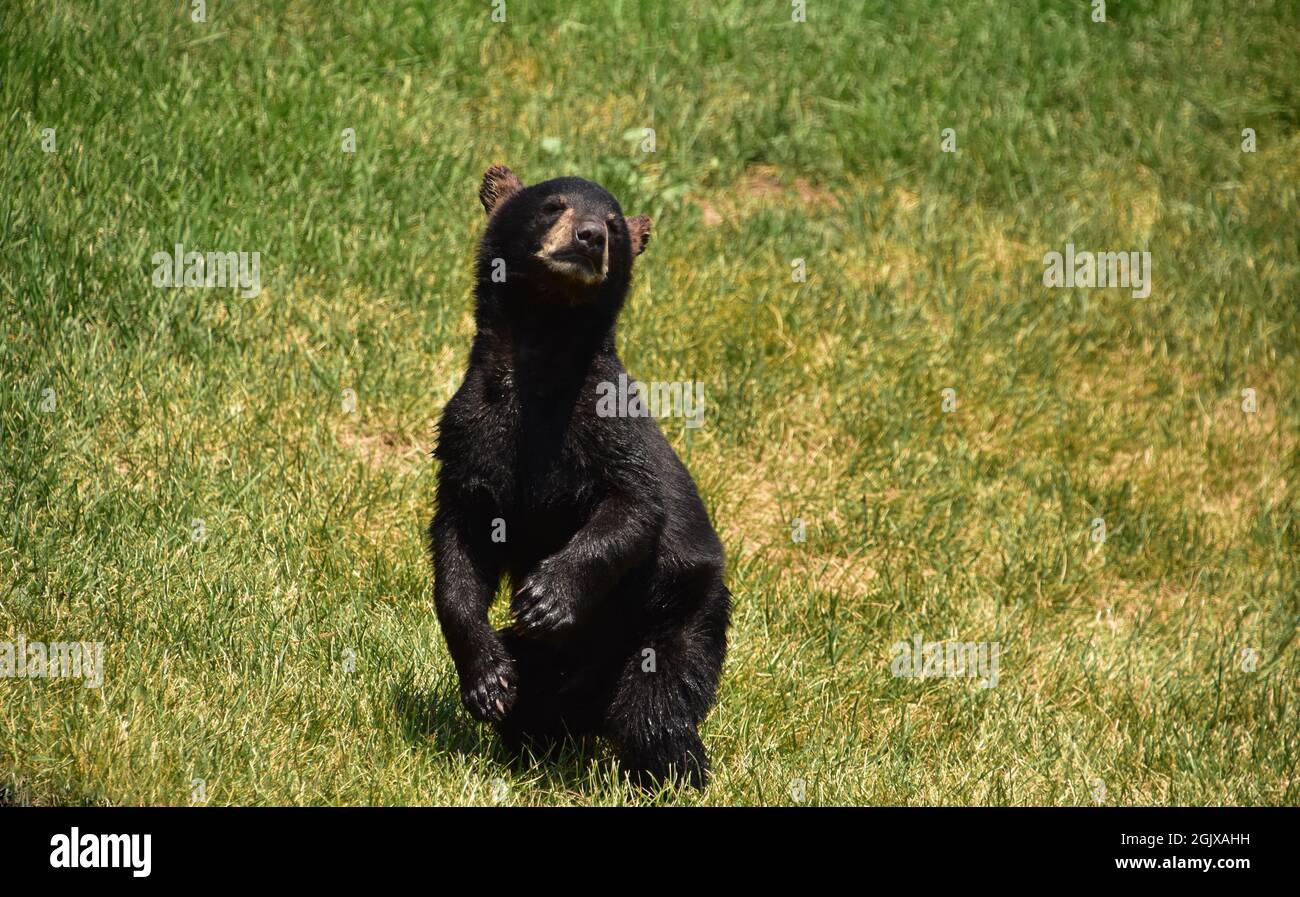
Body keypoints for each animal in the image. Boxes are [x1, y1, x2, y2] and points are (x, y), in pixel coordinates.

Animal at [429, 164, 731, 789]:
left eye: (613, 223)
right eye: (553, 205)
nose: (590, 237)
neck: (542, 361)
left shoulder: (609, 423)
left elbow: (634, 506)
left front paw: (546, 597)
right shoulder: (468, 433)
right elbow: (460, 540)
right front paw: (486, 681)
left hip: (682, 616)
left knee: (655, 710)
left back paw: (674, 775)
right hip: (559, 663)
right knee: (539, 695)